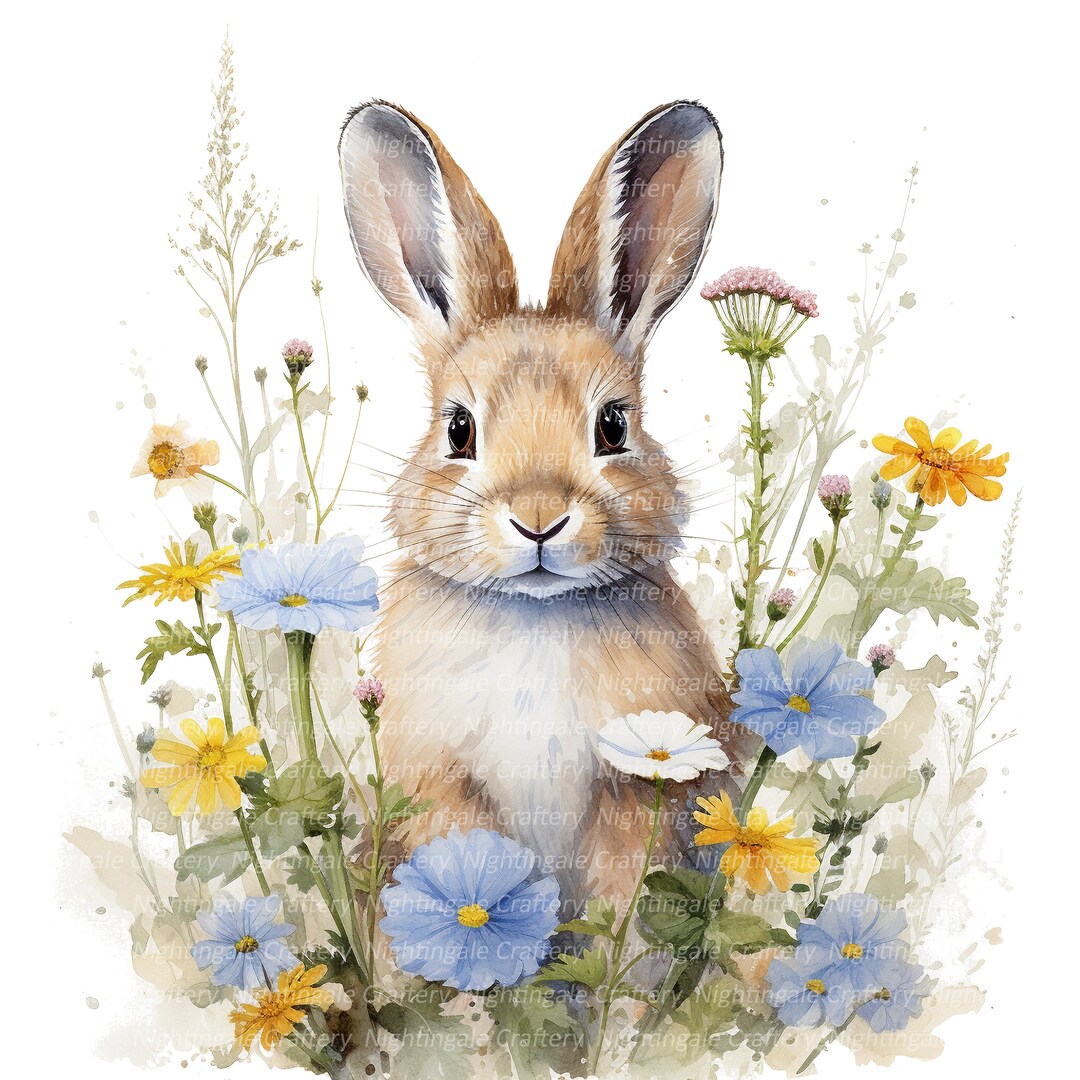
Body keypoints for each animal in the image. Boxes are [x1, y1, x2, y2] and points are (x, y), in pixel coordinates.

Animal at [337, 100, 755, 914]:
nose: (538, 519)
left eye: (613, 426)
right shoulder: (439, 785)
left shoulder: (636, 792)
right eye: (459, 430)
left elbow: (622, 897)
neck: (537, 614)